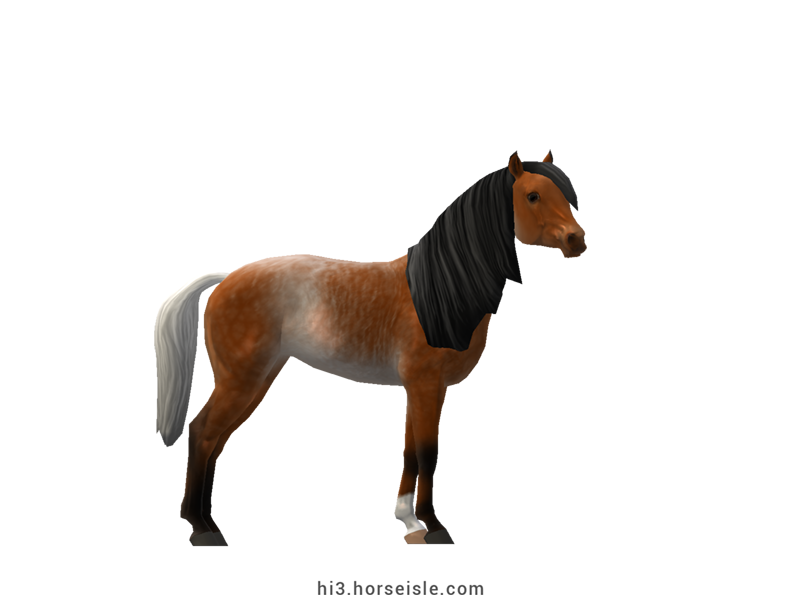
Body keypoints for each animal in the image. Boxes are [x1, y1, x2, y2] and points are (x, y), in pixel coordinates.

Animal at [155, 150, 587, 539]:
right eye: (533, 195)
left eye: (564, 191)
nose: (577, 238)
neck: (439, 290)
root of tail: (219, 283)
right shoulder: (424, 383)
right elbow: (428, 450)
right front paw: (431, 522)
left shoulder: (421, 387)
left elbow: (412, 450)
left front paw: (406, 518)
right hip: (241, 380)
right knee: (203, 433)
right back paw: (199, 523)